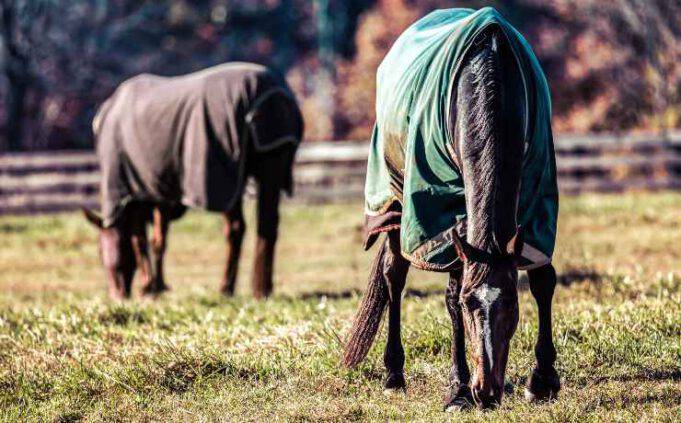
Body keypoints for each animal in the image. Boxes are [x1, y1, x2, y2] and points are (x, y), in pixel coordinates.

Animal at [83, 62, 303, 300]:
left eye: (98, 251)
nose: (117, 295)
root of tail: (272, 95)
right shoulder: (160, 193)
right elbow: (158, 240)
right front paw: (158, 285)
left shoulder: (135, 194)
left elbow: (140, 240)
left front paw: (149, 287)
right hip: (271, 164)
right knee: (267, 224)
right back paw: (261, 288)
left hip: (227, 179)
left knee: (236, 229)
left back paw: (227, 287)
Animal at [342, 8, 560, 410]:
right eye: (470, 303)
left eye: (511, 304)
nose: (486, 391)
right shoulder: (441, 213)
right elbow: (450, 293)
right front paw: (458, 389)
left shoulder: (537, 198)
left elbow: (543, 281)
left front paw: (543, 381)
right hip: (394, 202)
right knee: (393, 275)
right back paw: (394, 375)